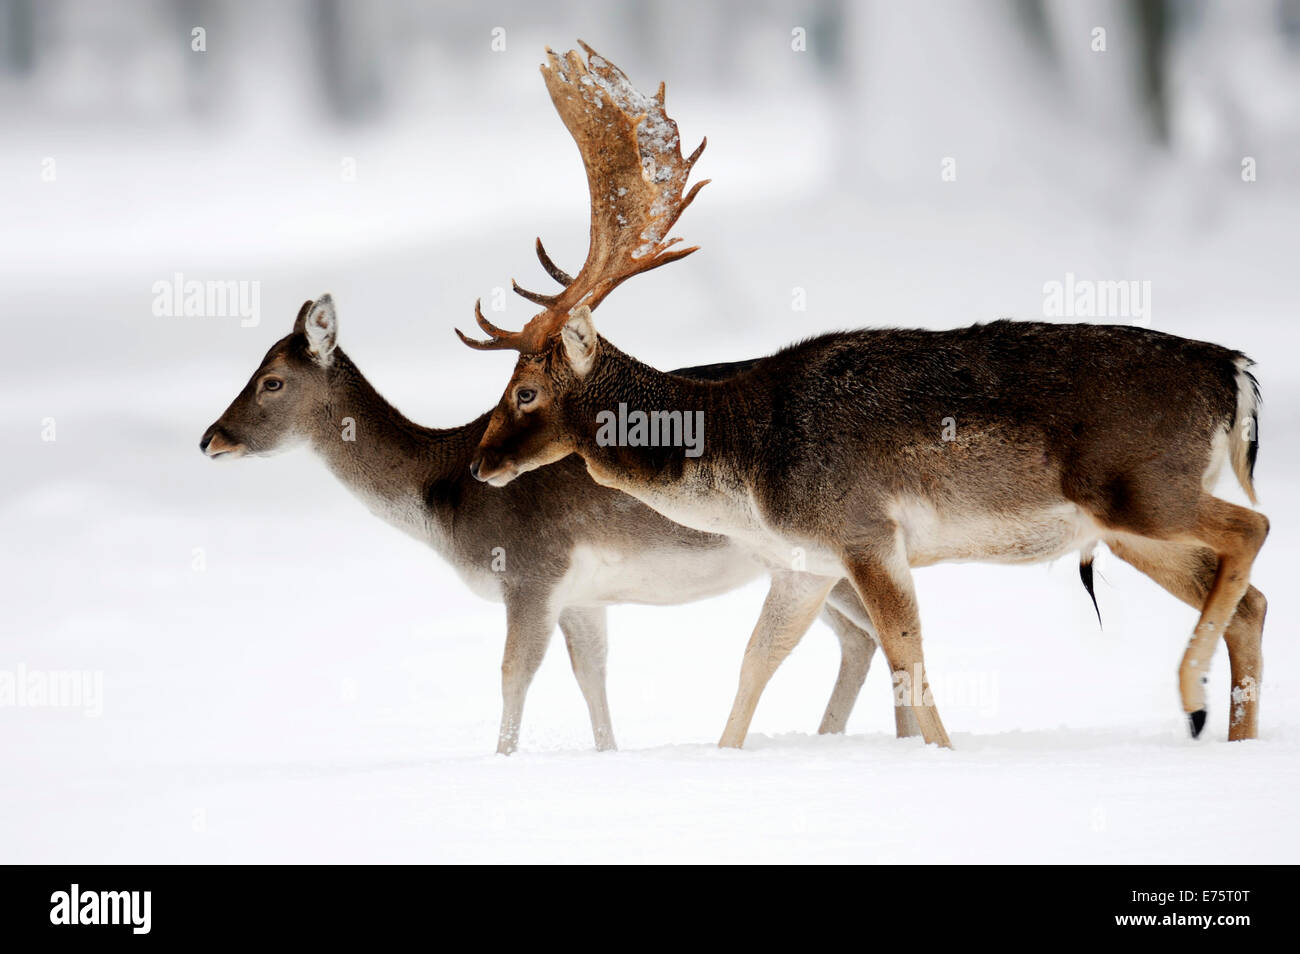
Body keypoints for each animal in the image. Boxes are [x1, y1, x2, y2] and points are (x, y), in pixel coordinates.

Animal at [199, 295, 930, 754]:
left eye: (270, 380)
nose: (211, 439)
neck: (443, 498)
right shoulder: (581, 596)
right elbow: (592, 678)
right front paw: (607, 755)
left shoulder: (532, 571)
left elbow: (513, 675)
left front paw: (501, 762)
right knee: (863, 639)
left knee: (873, 634)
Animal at [457, 43, 1269, 748]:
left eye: (525, 391)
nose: (480, 462)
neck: (741, 470)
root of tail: (1233, 373)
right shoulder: (803, 564)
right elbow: (755, 664)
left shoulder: (864, 529)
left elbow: (906, 657)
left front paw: (940, 755)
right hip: (1127, 527)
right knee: (1248, 602)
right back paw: (1232, 736)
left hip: (1141, 490)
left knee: (1252, 531)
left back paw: (1193, 699)